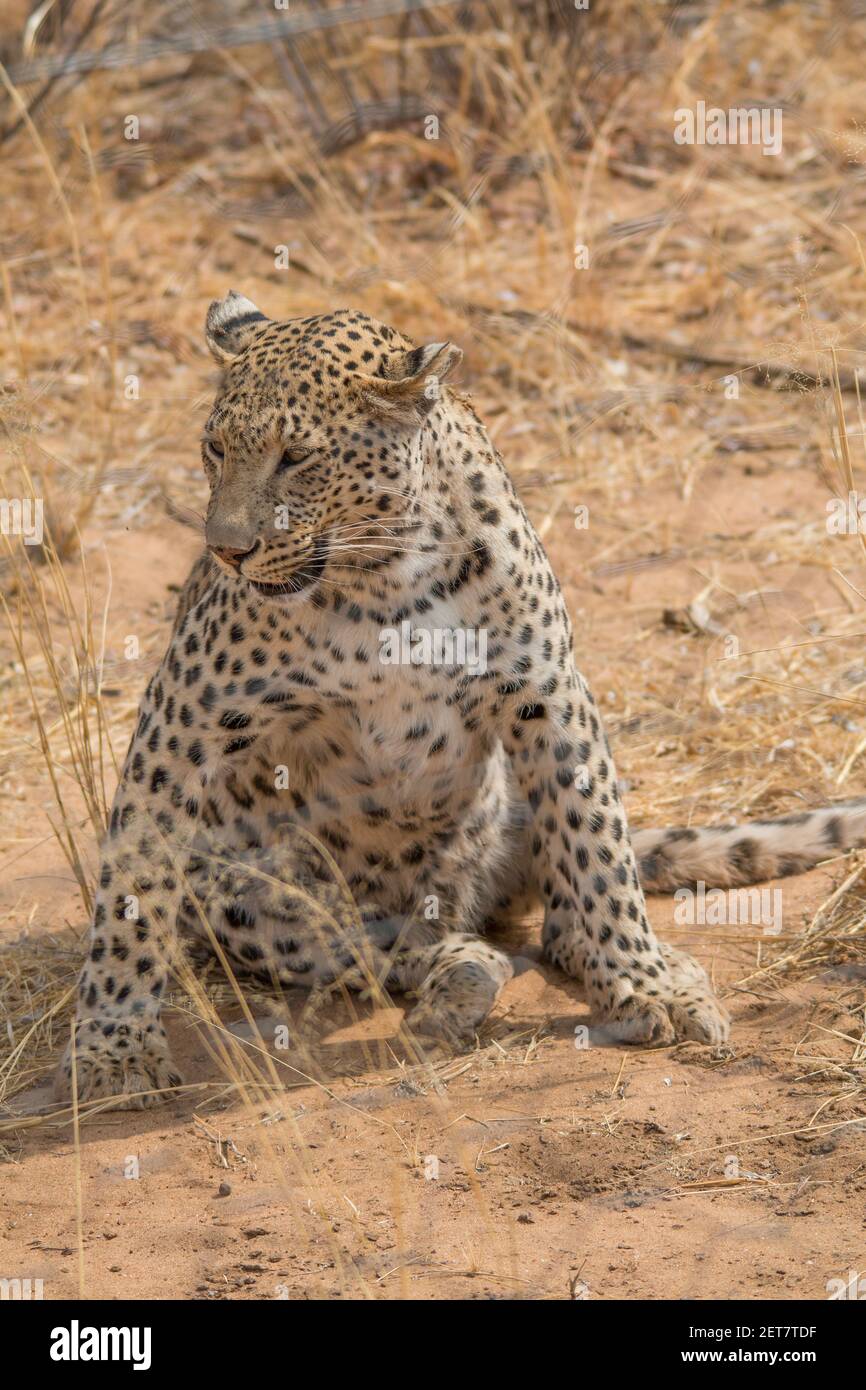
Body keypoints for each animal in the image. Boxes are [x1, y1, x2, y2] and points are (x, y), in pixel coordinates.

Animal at [55, 291, 866, 1108]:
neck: (383, 575)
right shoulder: (184, 715)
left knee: (559, 915)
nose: (227, 549)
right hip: (249, 893)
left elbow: (599, 850)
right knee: (377, 947)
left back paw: (641, 964)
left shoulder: (548, 691)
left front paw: (644, 983)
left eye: (297, 457)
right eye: (216, 449)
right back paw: (459, 981)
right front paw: (114, 1050)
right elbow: (133, 888)